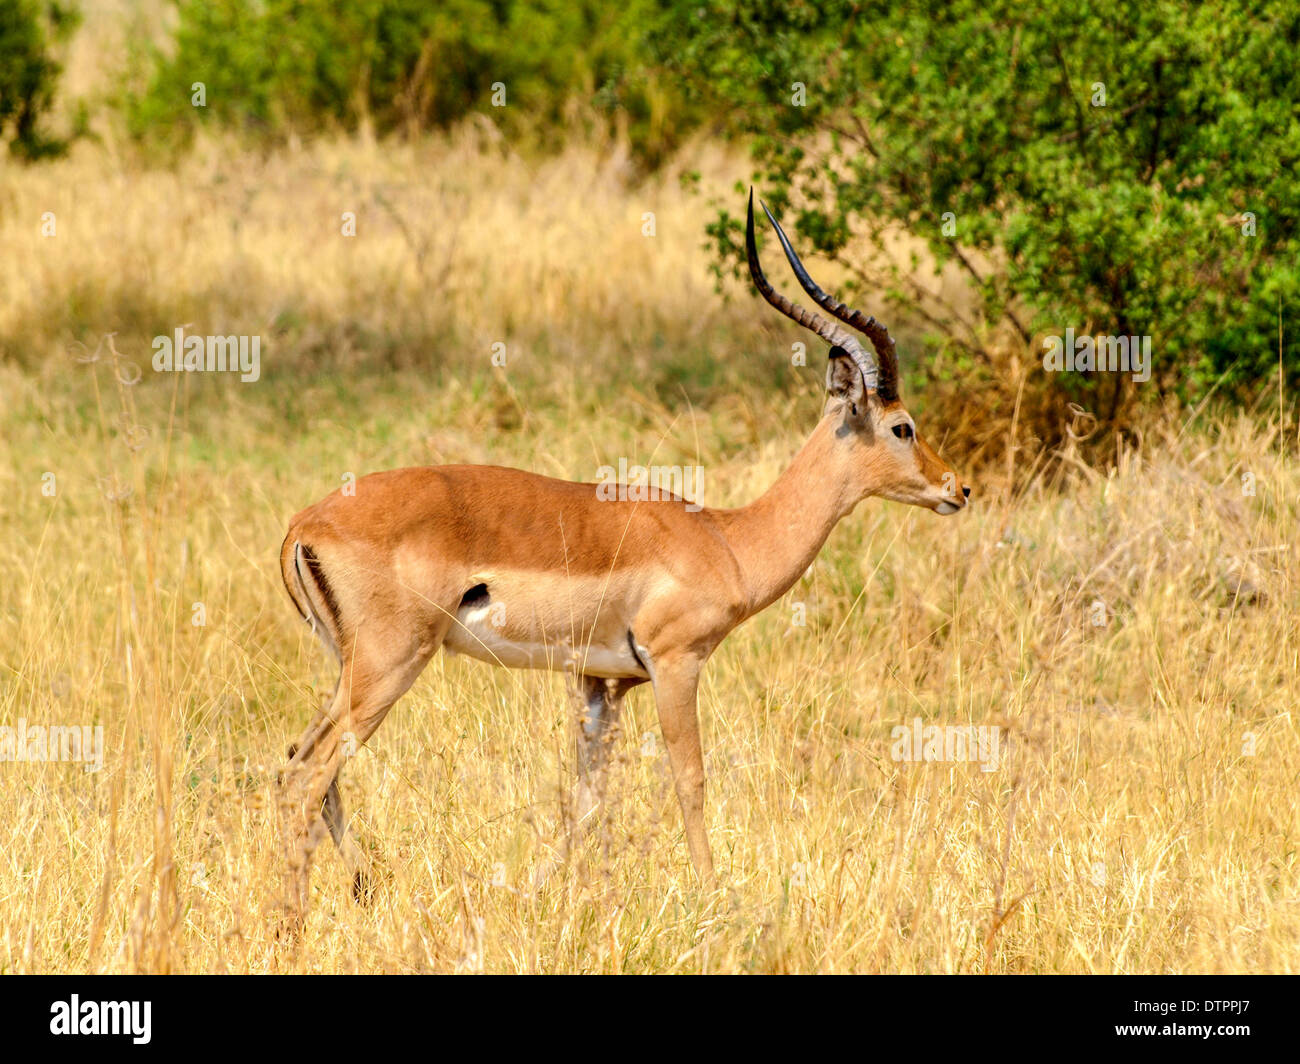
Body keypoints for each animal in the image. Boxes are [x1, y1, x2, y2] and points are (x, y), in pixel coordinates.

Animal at [276, 191, 969, 922]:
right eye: (902, 427)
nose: (958, 488)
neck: (726, 541)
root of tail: (303, 524)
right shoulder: (675, 664)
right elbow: (689, 777)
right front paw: (713, 897)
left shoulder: (601, 684)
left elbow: (585, 802)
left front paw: (534, 893)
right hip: (389, 665)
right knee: (305, 774)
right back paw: (294, 924)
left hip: (351, 668)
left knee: (299, 760)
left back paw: (361, 888)